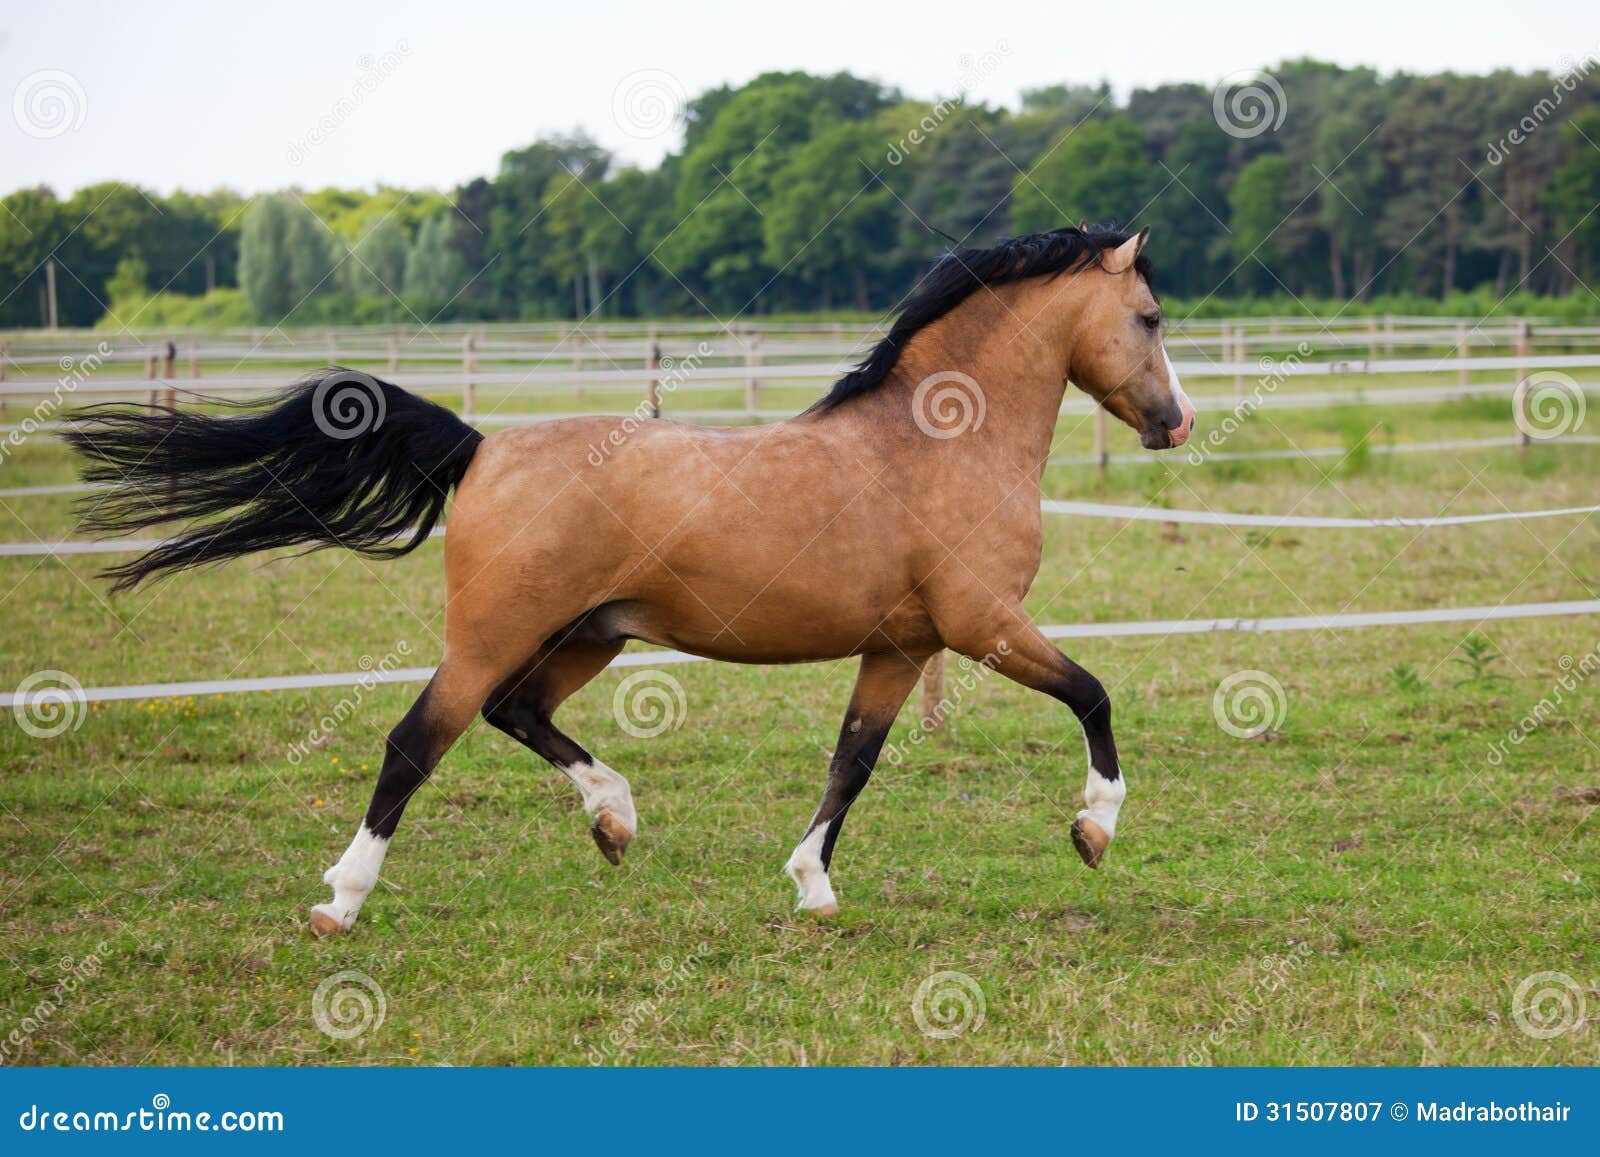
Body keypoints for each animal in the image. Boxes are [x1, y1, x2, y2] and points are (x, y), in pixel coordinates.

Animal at [65, 224, 1195, 936]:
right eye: (1149, 316)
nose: (1175, 421)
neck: (936, 442)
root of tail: (482, 447)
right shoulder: (981, 623)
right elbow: (1094, 693)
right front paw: (1093, 828)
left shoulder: (902, 644)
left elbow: (852, 762)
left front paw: (813, 888)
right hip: (491, 633)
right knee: (415, 742)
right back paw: (340, 900)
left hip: (587, 634)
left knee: (516, 713)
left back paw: (614, 816)